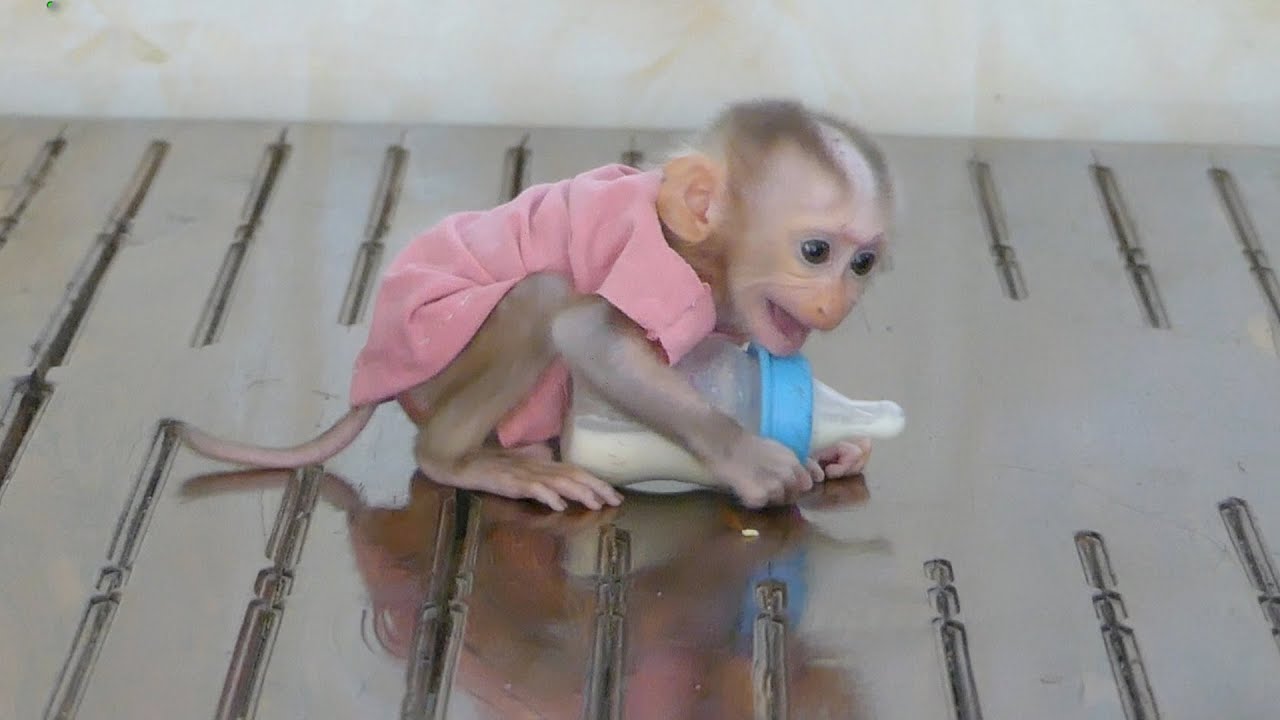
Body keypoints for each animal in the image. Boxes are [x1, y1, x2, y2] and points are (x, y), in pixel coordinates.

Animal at [173, 98, 895, 513]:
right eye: (814, 252)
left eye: (862, 262)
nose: (836, 300)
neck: (705, 261)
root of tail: (371, 369)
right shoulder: (655, 268)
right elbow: (586, 335)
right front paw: (748, 457)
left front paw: (838, 448)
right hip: (426, 345)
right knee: (542, 295)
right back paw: (460, 461)